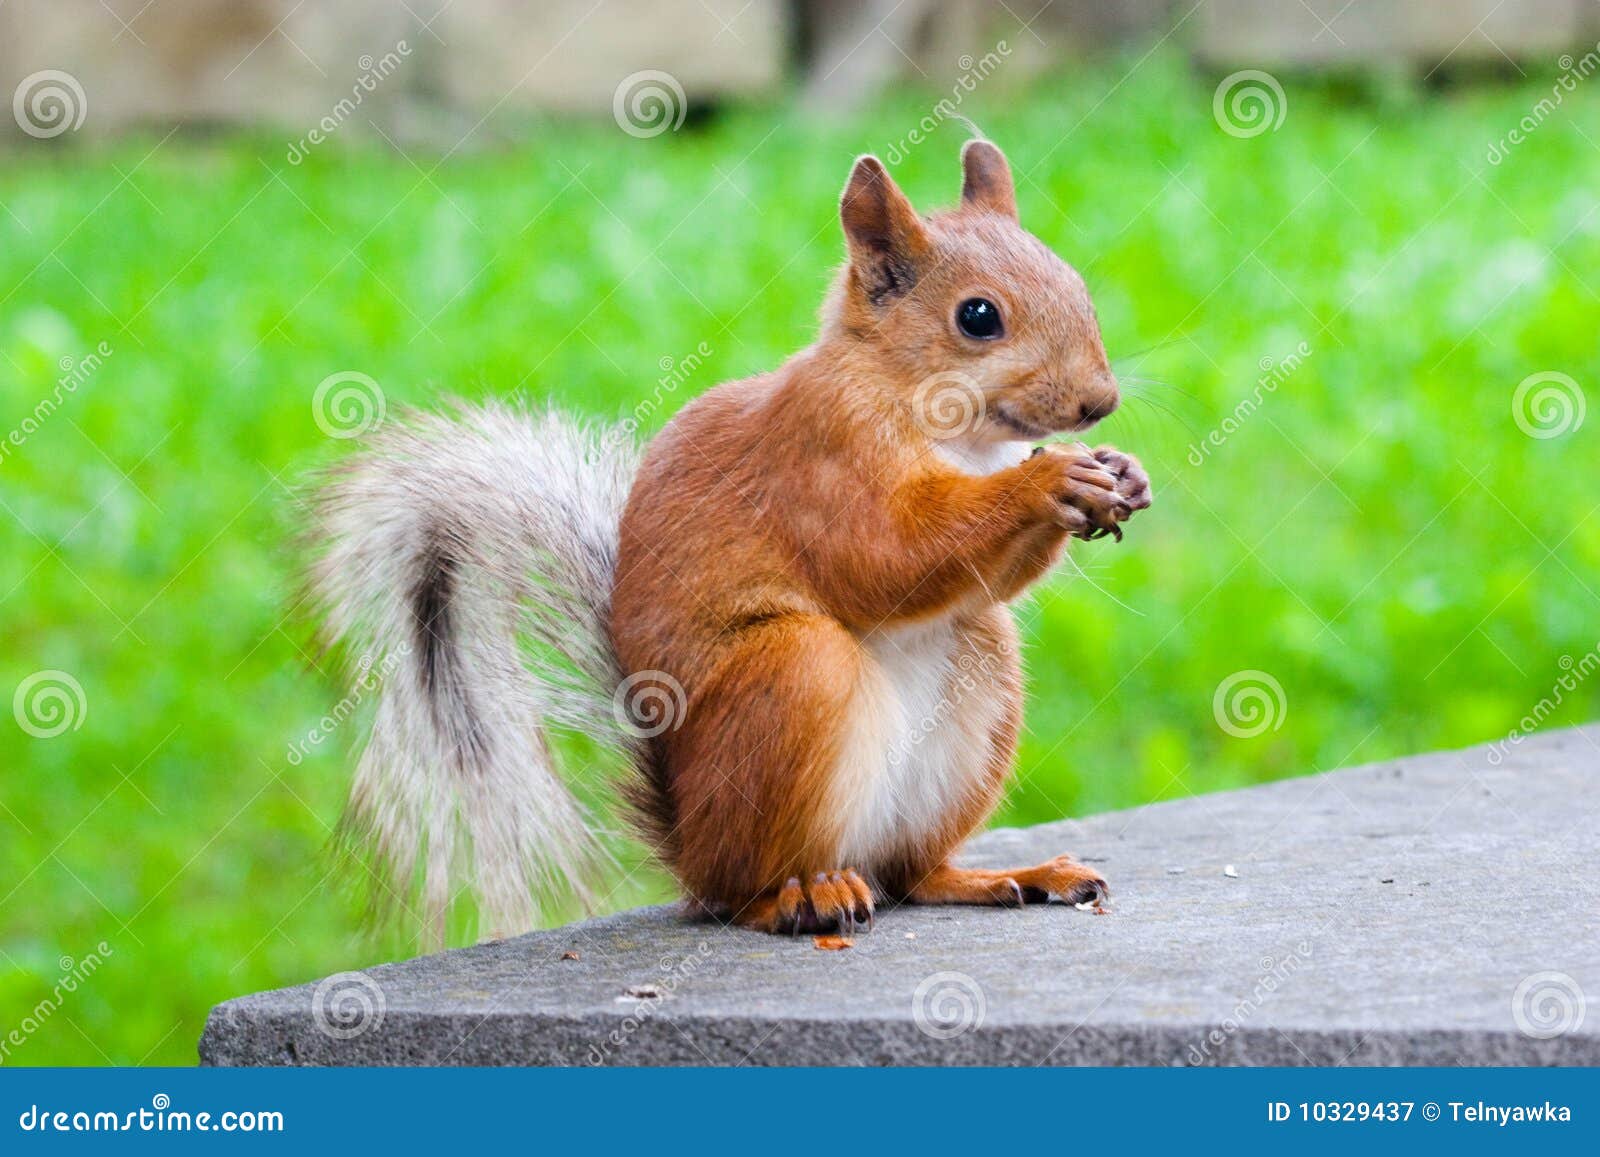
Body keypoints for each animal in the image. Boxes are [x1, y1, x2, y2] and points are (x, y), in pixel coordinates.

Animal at [306, 140, 1151, 942]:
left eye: (1075, 283)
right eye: (978, 317)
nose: (1099, 402)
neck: (951, 426)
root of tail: (691, 847)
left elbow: (984, 579)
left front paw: (1120, 473)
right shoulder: (821, 459)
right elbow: (885, 556)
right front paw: (1048, 481)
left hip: (977, 678)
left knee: (912, 873)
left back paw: (1007, 874)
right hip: (790, 679)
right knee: (749, 887)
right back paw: (799, 897)